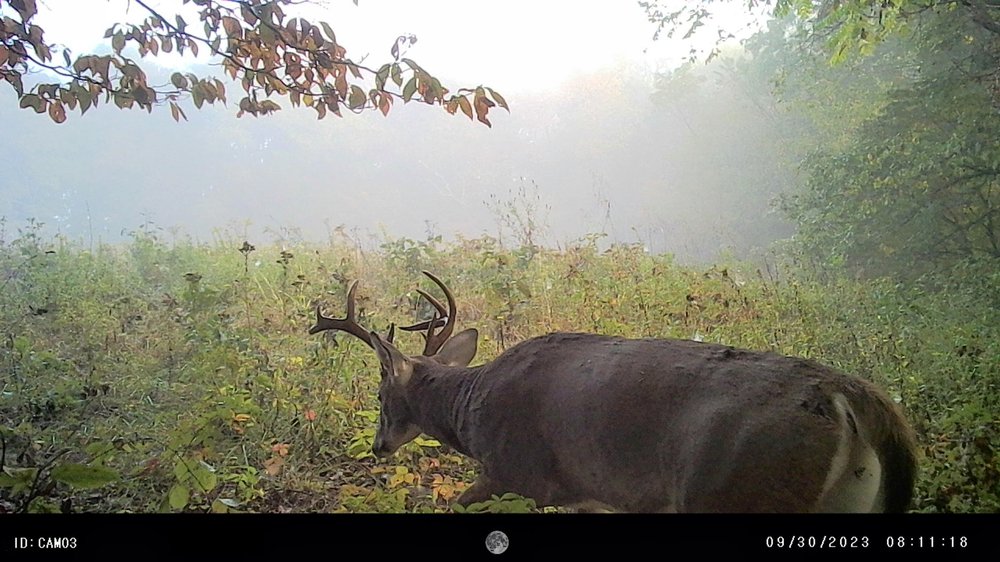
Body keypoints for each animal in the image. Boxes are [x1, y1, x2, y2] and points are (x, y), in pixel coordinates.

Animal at [309, 271, 918, 513]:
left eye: (379, 397)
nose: (378, 446)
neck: (470, 407)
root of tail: (854, 397)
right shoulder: (592, 496)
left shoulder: (517, 473)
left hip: (736, 487)